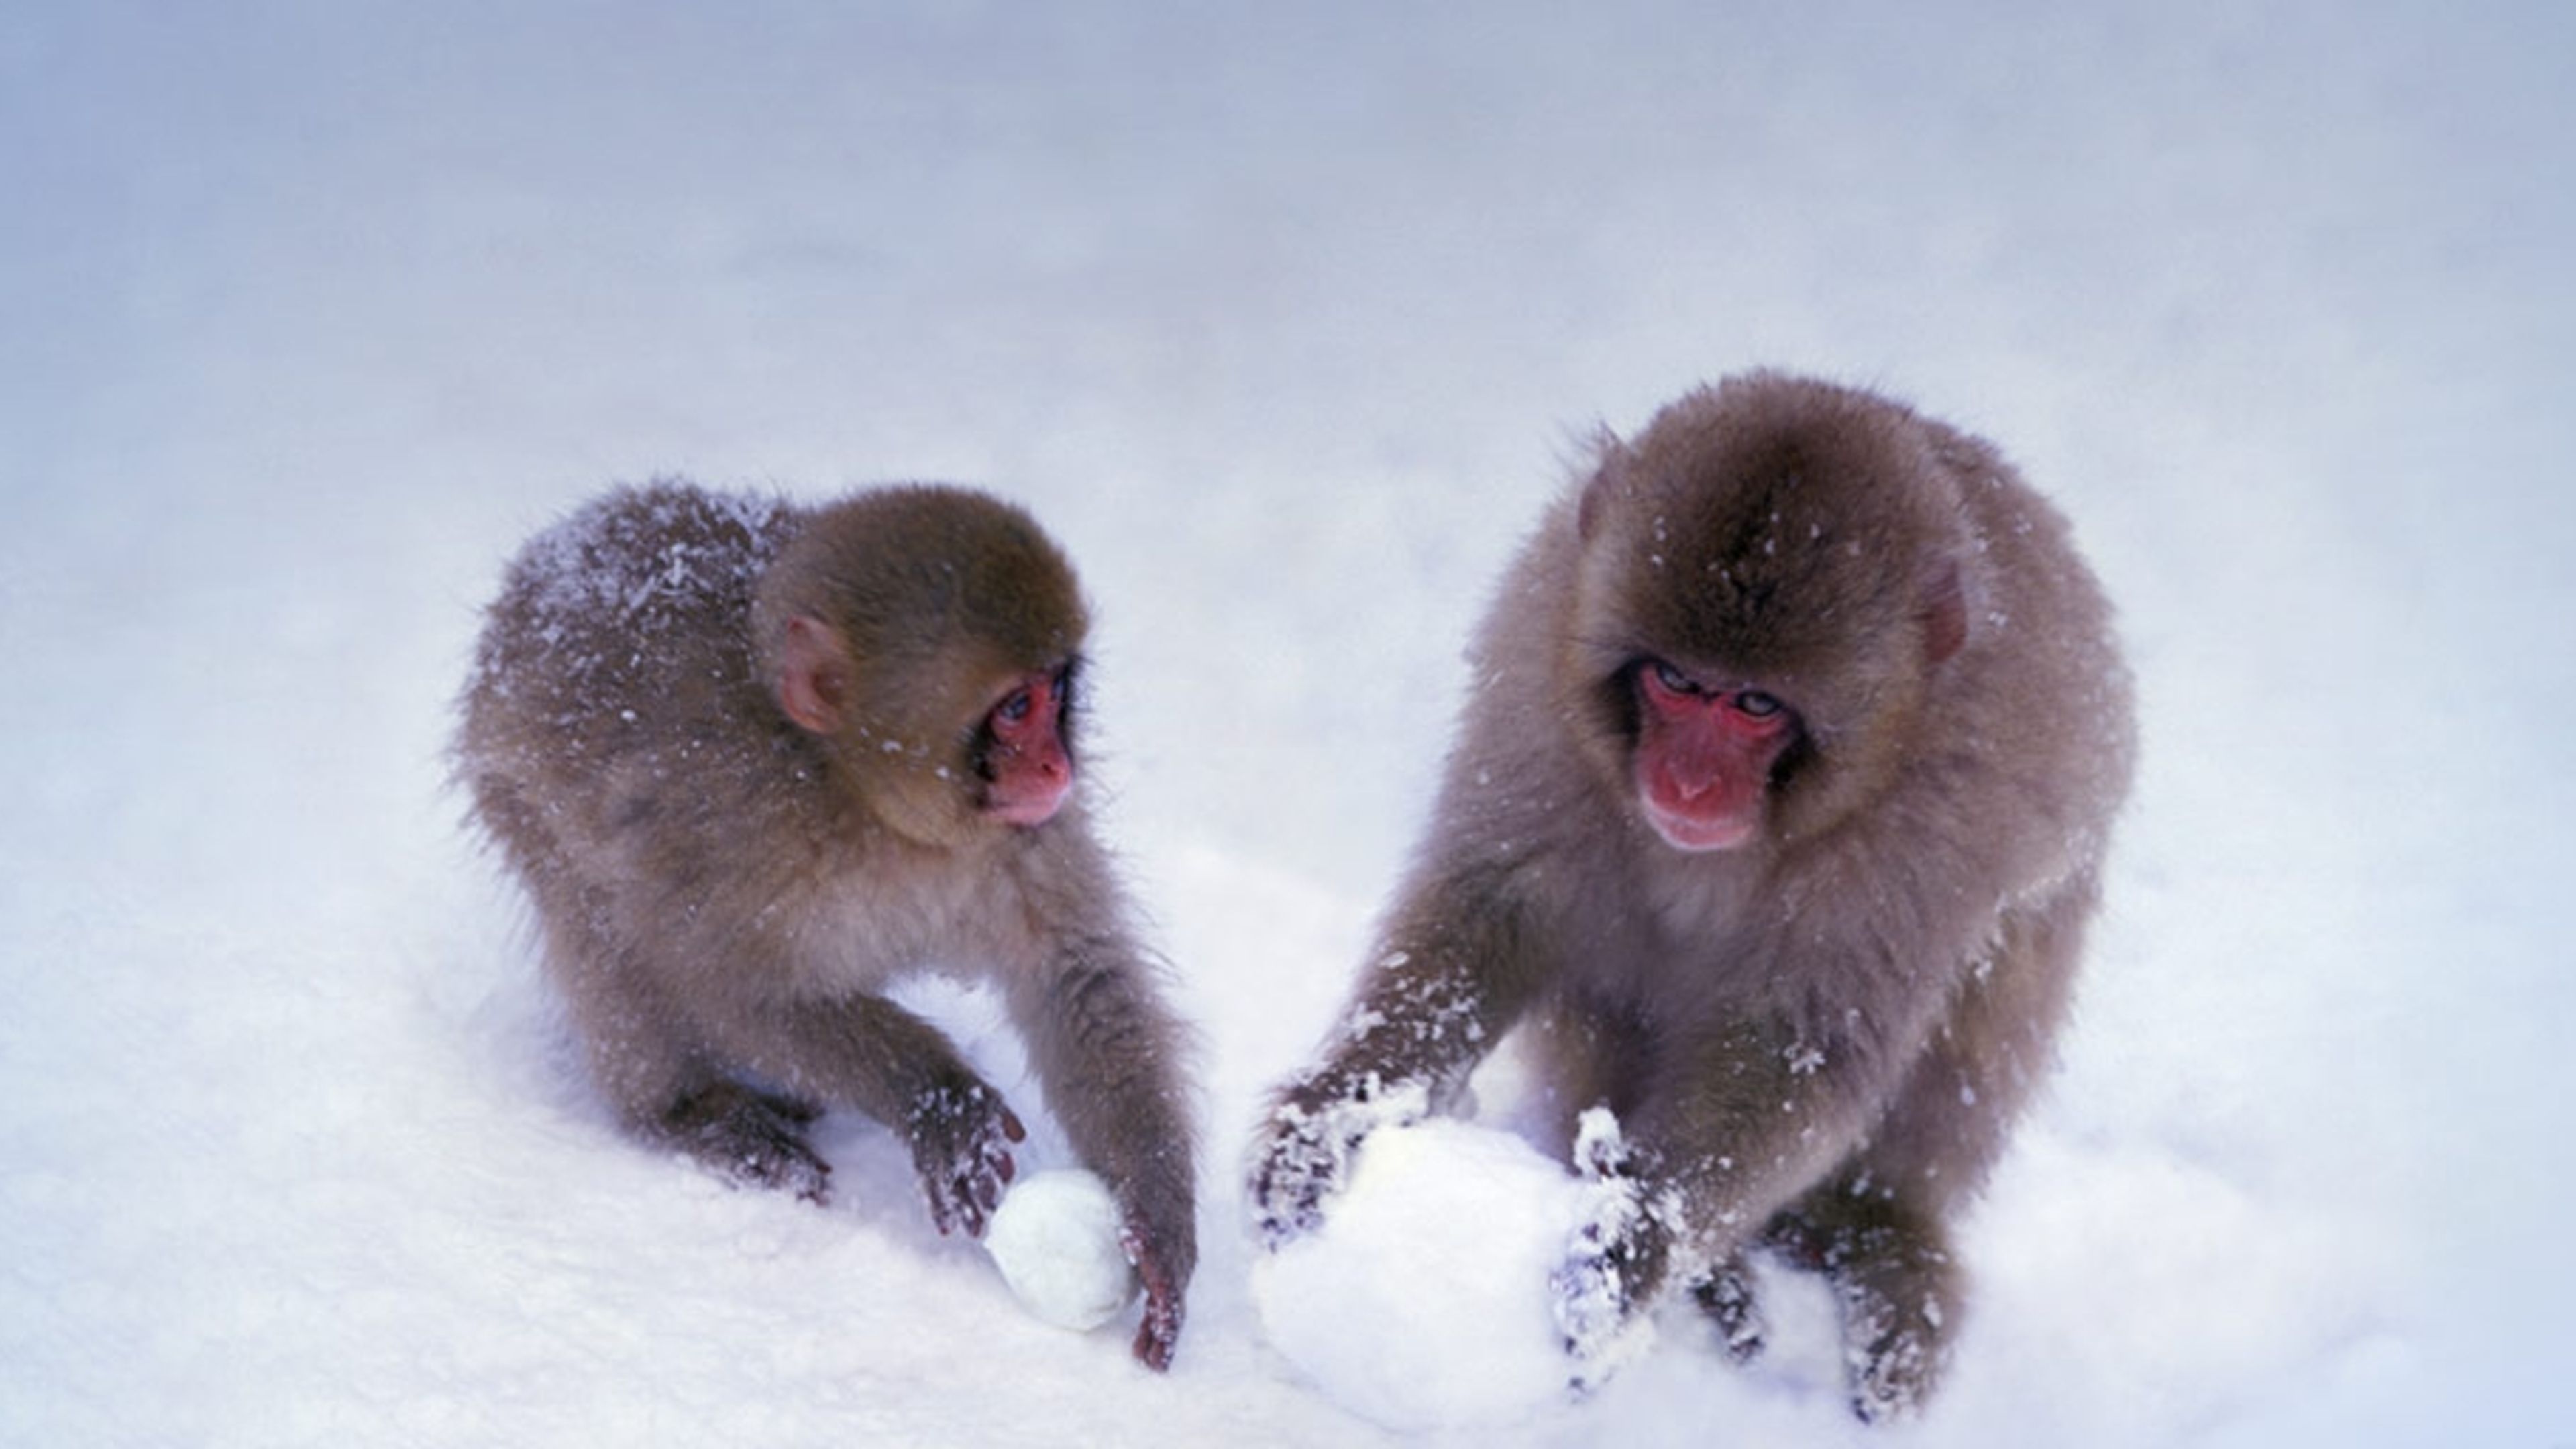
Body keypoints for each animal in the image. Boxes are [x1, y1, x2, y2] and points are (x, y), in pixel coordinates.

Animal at [455, 480, 1198, 1370]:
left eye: (1059, 692)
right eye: (1016, 708)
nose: (1060, 766)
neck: (869, 806)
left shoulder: (1025, 839)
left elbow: (1077, 979)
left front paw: (1159, 1224)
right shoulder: (733, 831)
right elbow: (718, 986)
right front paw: (933, 1095)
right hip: (511, 784)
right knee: (599, 928)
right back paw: (686, 1115)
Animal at [1247, 373, 2133, 1420]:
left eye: (1754, 705)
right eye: (1675, 680)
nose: (1688, 784)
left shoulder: (1933, 813)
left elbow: (1798, 1042)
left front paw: (1636, 1240)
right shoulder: (1541, 678)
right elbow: (1494, 906)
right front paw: (1336, 1112)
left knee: (1990, 1010)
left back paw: (1882, 1235)